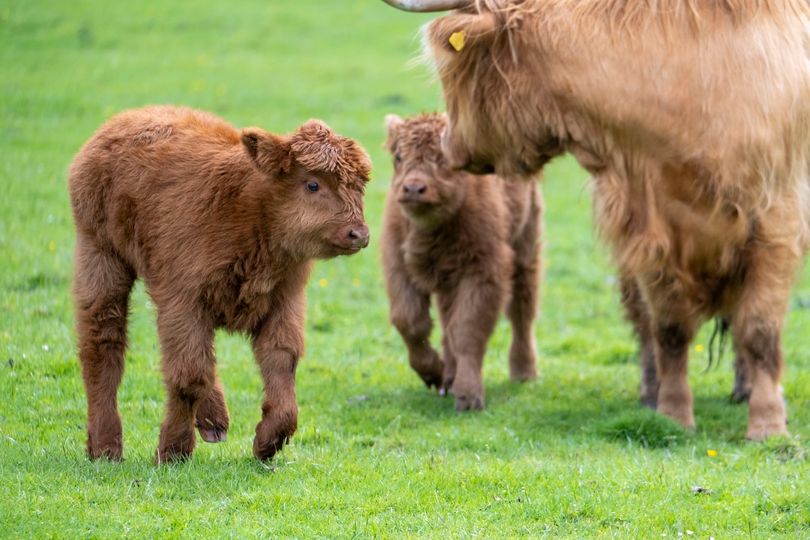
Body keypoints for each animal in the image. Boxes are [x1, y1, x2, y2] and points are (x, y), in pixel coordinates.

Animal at [69, 106, 371, 462]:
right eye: (312, 184)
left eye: (360, 186)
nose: (358, 234)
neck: (246, 210)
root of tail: (124, 120)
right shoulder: (182, 301)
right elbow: (189, 376)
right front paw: (173, 451)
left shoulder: (284, 300)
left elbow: (282, 361)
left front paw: (268, 441)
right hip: (100, 255)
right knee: (102, 341)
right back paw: (105, 446)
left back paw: (214, 421)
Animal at [381, 113, 542, 410]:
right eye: (398, 156)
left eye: (443, 159)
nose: (413, 188)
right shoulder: (398, 267)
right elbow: (410, 322)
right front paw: (433, 374)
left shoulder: (483, 273)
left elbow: (467, 329)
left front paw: (468, 396)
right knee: (447, 321)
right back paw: (448, 377)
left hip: (526, 251)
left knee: (522, 312)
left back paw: (524, 372)